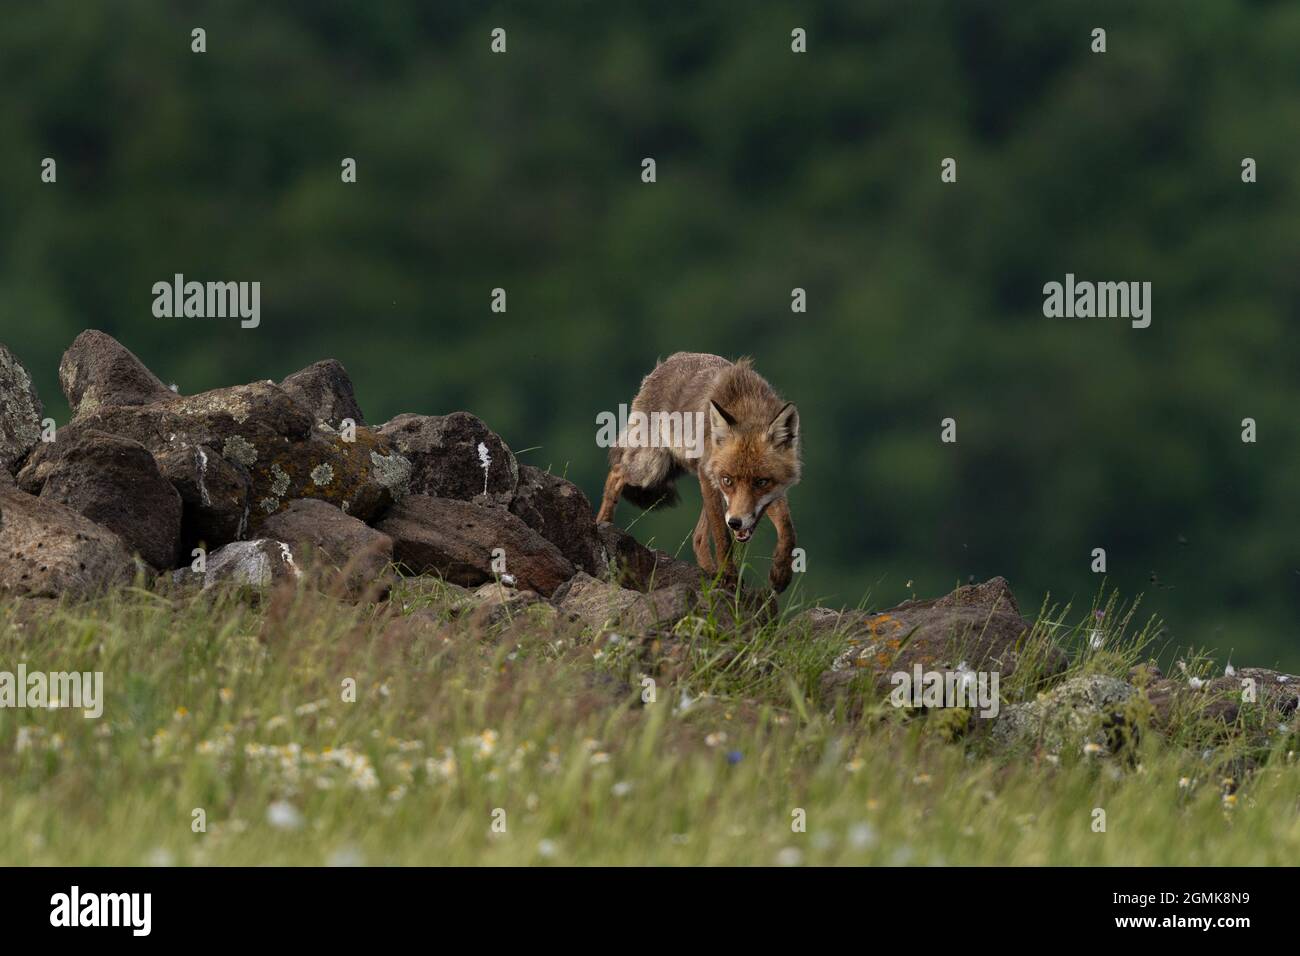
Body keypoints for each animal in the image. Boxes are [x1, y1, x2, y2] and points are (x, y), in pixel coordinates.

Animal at [597, 352, 801, 593]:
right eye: (728, 480)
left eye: (761, 482)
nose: (736, 523)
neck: (746, 405)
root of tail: (667, 362)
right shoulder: (710, 478)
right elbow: (722, 536)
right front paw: (730, 578)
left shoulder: (769, 492)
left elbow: (788, 530)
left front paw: (781, 574)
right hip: (652, 469)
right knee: (616, 472)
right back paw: (603, 522)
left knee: (698, 537)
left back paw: (710, 572)